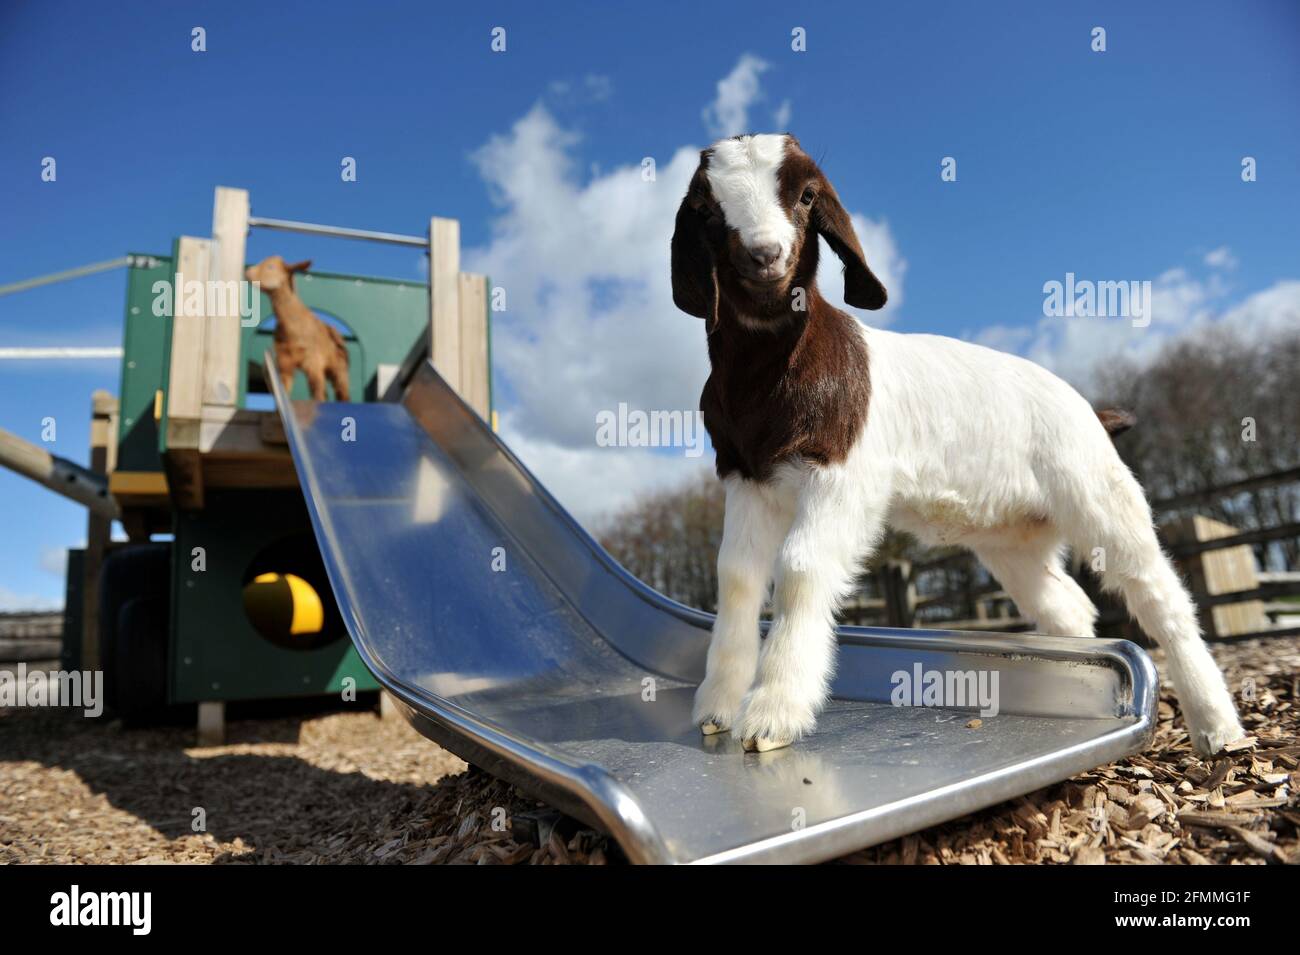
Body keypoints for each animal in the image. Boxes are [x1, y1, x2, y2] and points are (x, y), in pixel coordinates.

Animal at [245, 256, 351, 401]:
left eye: (271, 266)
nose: (247, 271)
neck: (293, 329)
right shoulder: (284, 362)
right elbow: (284, 392)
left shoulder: (313, 360)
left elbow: (317, 392)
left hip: (340, 368)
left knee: (341, 391)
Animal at [671, 134, 1243, 756]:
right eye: (706, 209)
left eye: (805, 195)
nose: (765, 255)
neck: (770, 369)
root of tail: (1088, 407)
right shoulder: (746, 476)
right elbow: (736, 576)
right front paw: (716, 708)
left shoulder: (842, 475)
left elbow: (799, 567)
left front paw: (770, 715)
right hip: (1013, 540)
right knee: (1066, 602)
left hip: (1099, 491)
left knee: (1158, 594)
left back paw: (1218, 728)